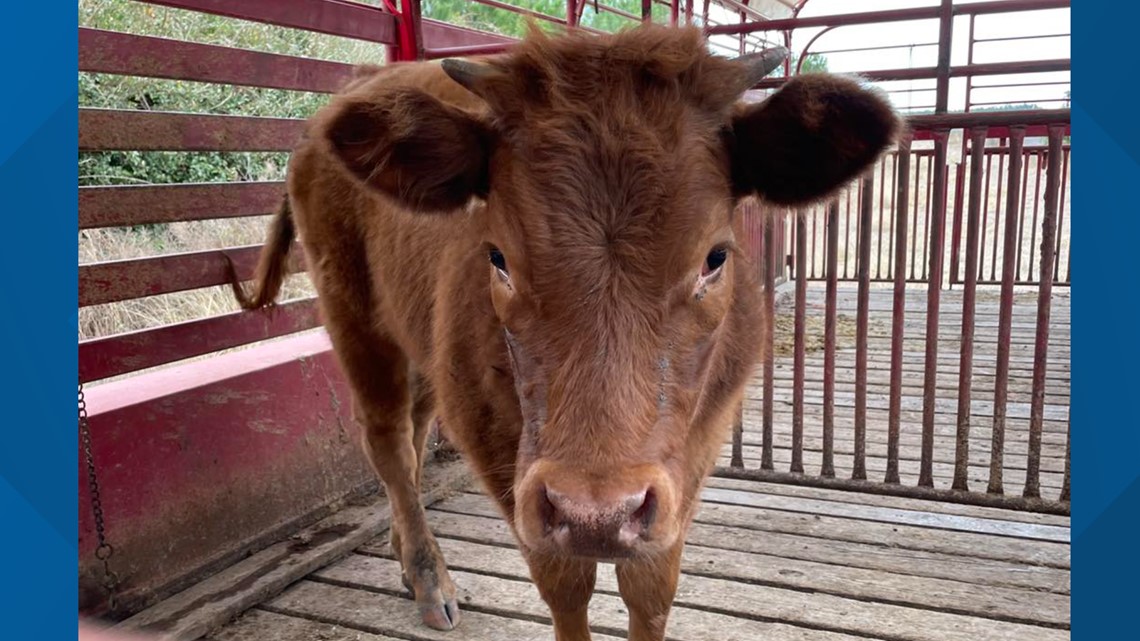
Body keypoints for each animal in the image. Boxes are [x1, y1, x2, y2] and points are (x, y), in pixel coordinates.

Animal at [233, 23, 899, 641]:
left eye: (715, 257)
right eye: (498, 256)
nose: (595, 516)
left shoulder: (692, 451)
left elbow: (650, 585)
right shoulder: (508, 460)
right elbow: (565, 583)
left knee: (416, 432)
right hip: (355, 319)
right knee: (390, 441)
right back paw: (428, 578)